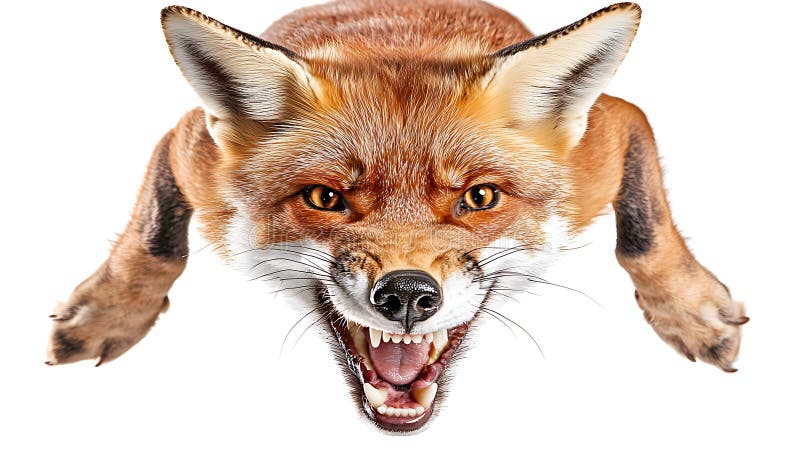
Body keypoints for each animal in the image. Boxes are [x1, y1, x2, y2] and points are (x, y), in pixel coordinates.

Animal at [46, 0, 748, 433]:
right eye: (325, 199)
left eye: (480, 198)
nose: (407, 293)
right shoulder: (193, 145)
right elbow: (155, 235)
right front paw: (112, 311)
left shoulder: (611, 132)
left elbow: (645, 233)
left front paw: (686, 310)